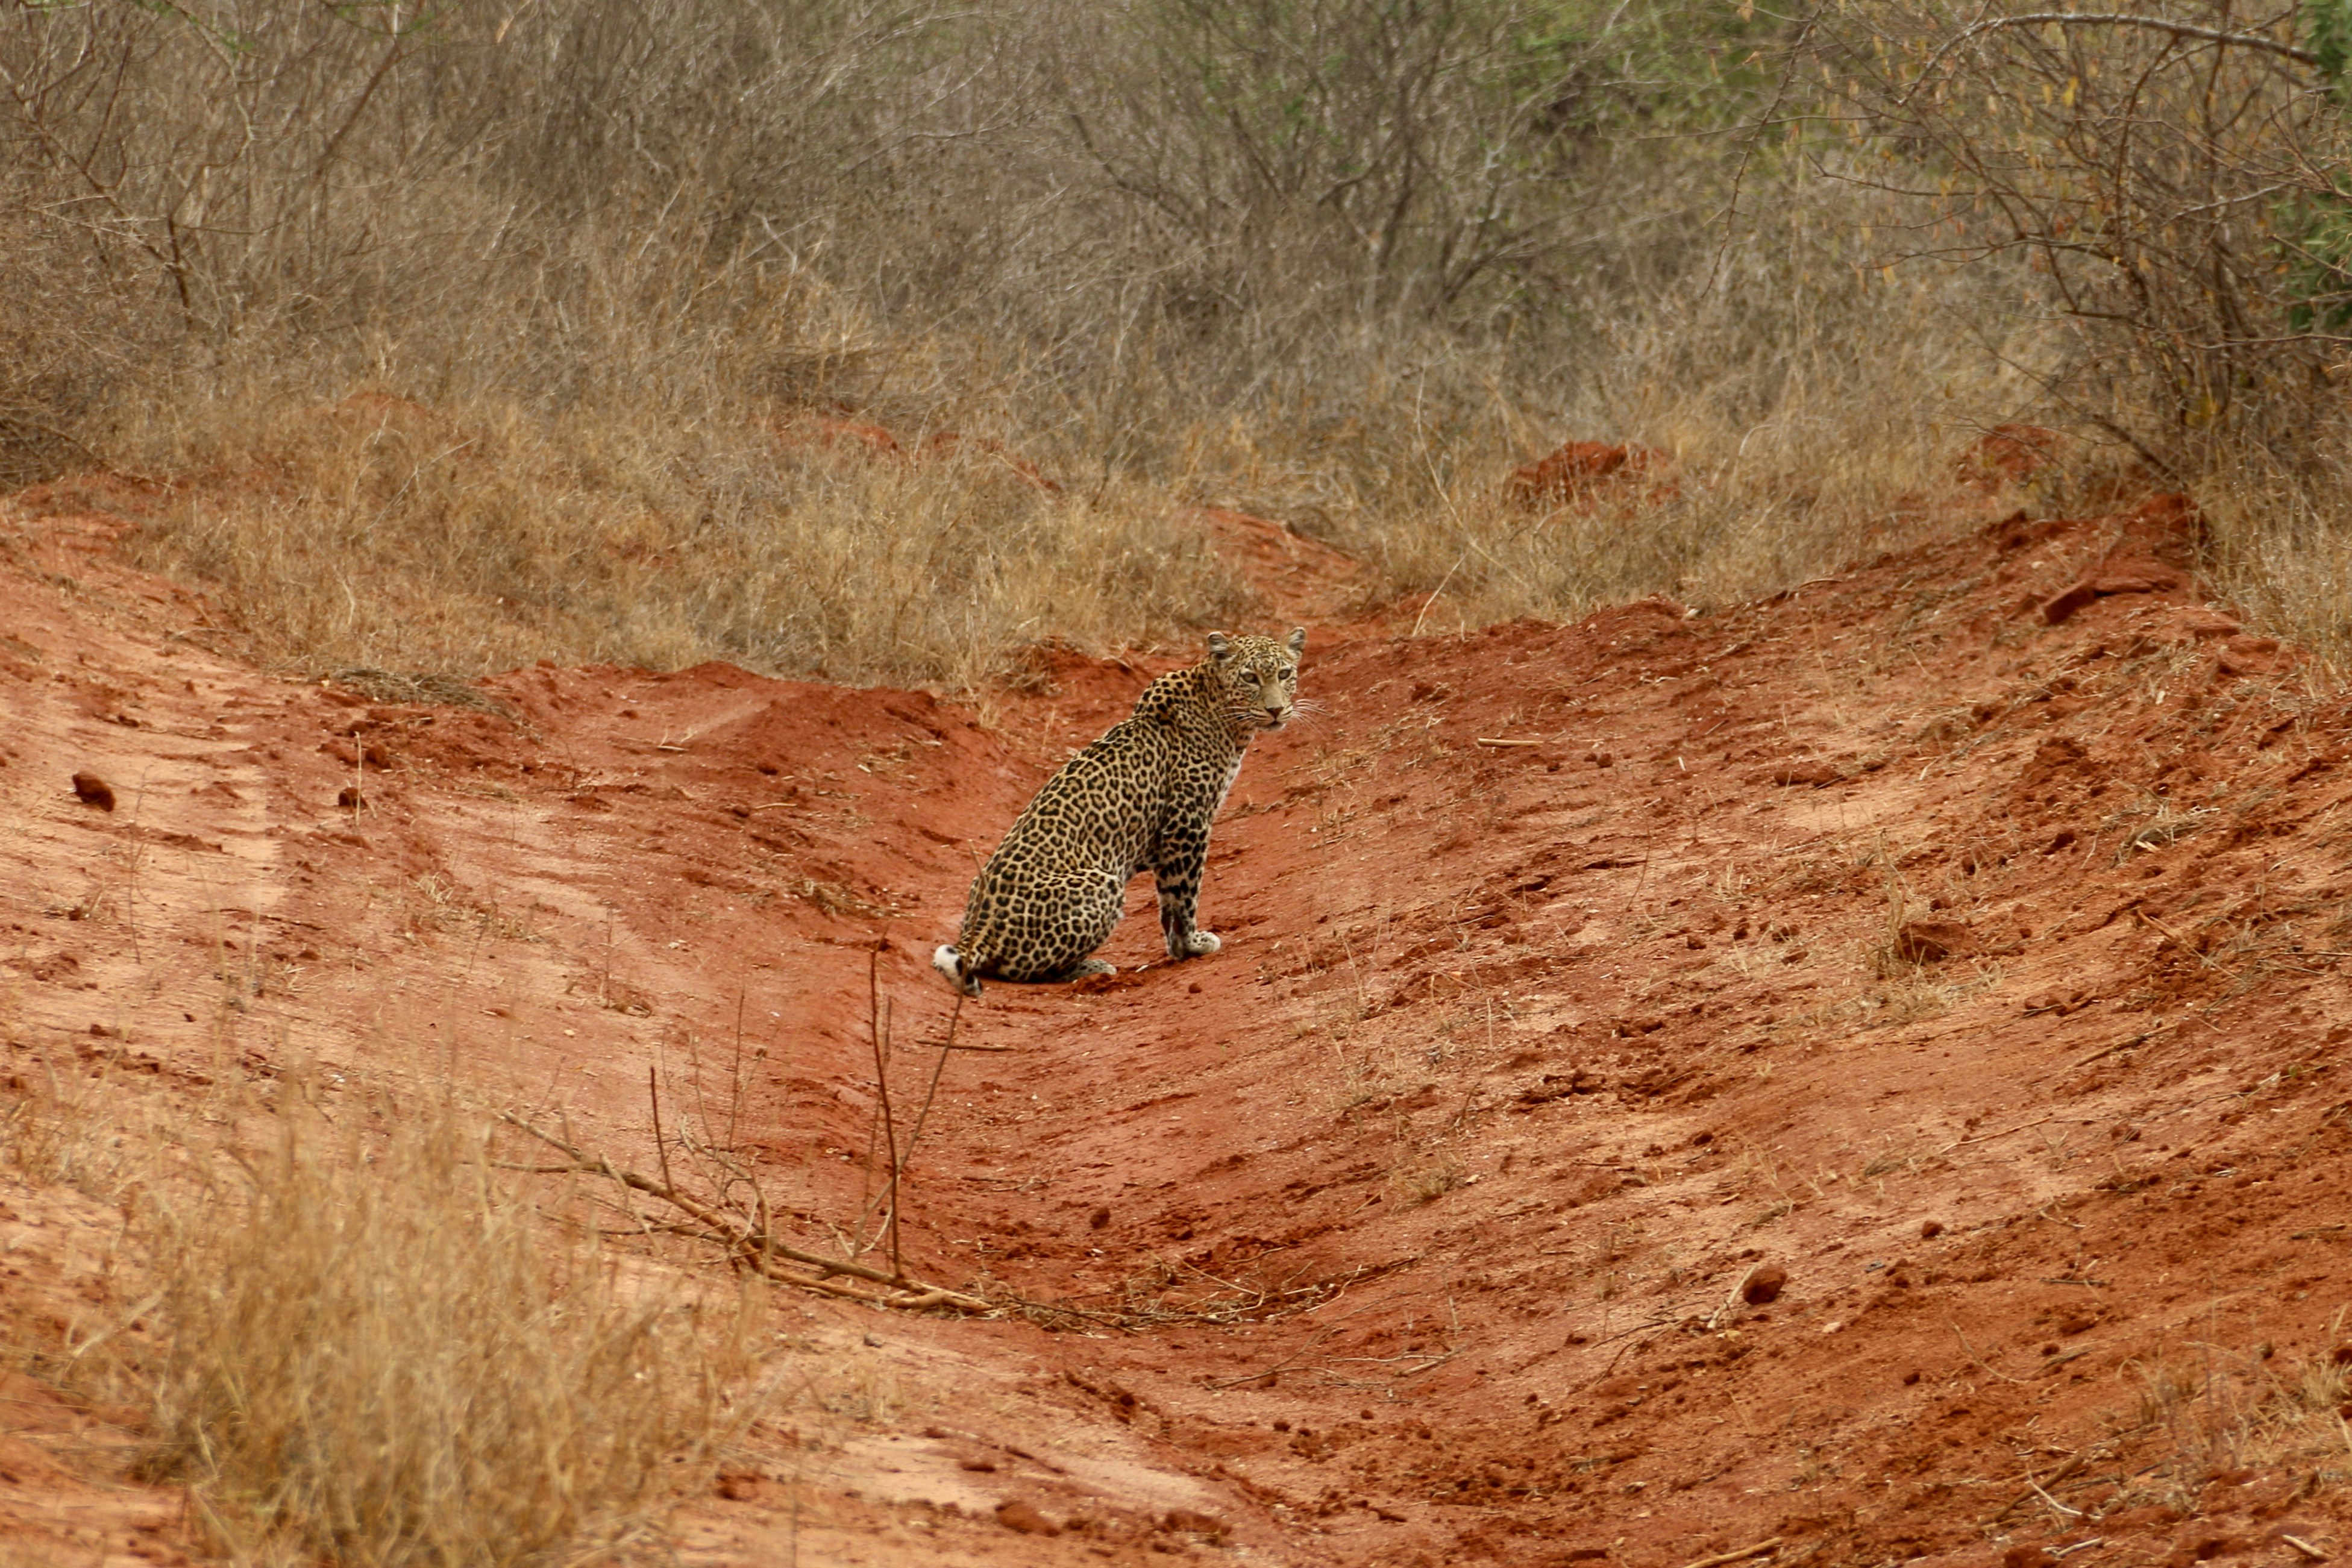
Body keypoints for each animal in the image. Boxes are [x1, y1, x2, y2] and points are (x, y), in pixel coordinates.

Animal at [932, 628, 1306, 997]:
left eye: (1284, 674)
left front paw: (1178, 949)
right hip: (1103, 882)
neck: (1221, 713)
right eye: (1250, 678)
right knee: (1021, 970)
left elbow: (1169, 900)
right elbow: (1186, 894)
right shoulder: (1187, 825)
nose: (1276, 710)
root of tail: (976, 931)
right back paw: (1093, 968)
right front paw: (1193, 945)